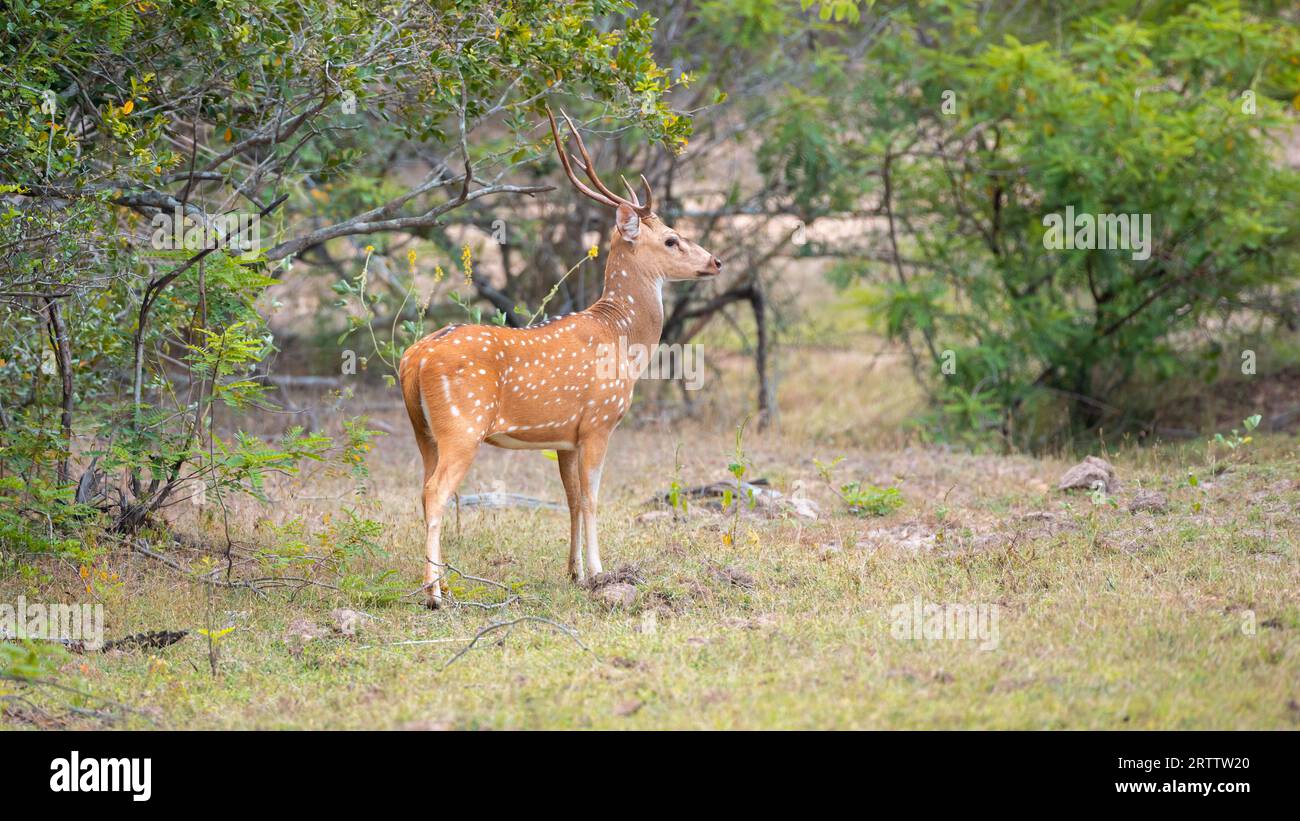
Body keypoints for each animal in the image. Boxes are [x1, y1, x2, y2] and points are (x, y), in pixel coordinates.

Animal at [398, 109, 722, 608]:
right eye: (671, 239)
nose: (715, 262)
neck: (622, 338)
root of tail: (415, 358)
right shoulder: (599, 422)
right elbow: (592, 499)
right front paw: (601, 572)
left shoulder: (566, 437)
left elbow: (570, 499)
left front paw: (574, 572)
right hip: (462, 425)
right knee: (435, 492)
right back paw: (435, 594)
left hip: (423, 431)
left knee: (421, 489)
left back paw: (442, 584)